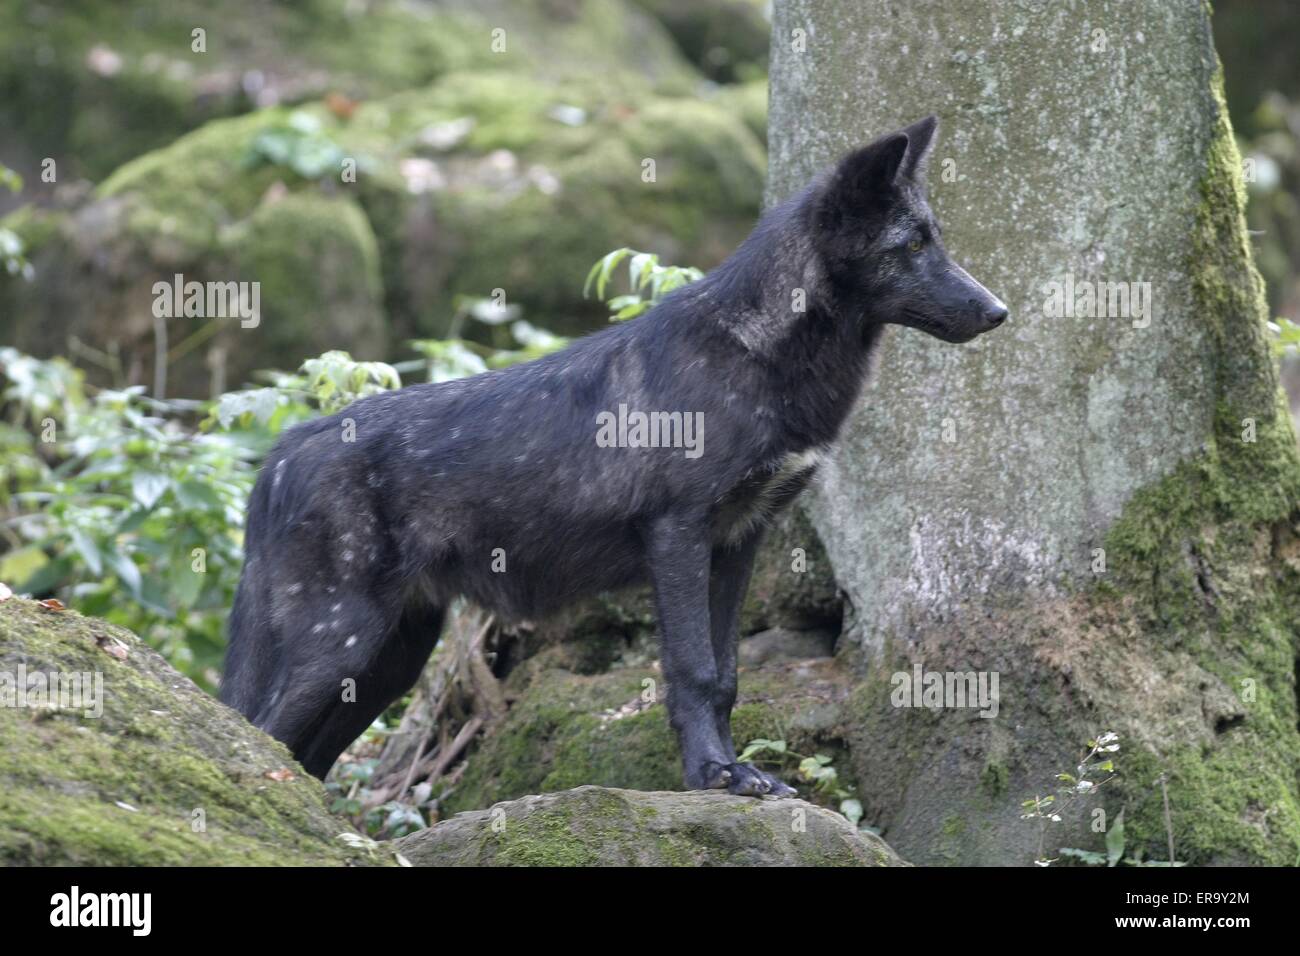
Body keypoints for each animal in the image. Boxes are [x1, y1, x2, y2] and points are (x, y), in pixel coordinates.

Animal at [221, 116, 1007, 794]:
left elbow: (727, 677)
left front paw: (737, 773)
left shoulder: (738, 543)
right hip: (342, 644)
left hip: (389, 663)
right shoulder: (679, 533)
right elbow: (693, 672)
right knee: (257, 731)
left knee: (296, 752)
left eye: (935, 239)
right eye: (912, 246)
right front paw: (714, 778)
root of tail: (286, 449)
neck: (750, 357)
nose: (998, 311)